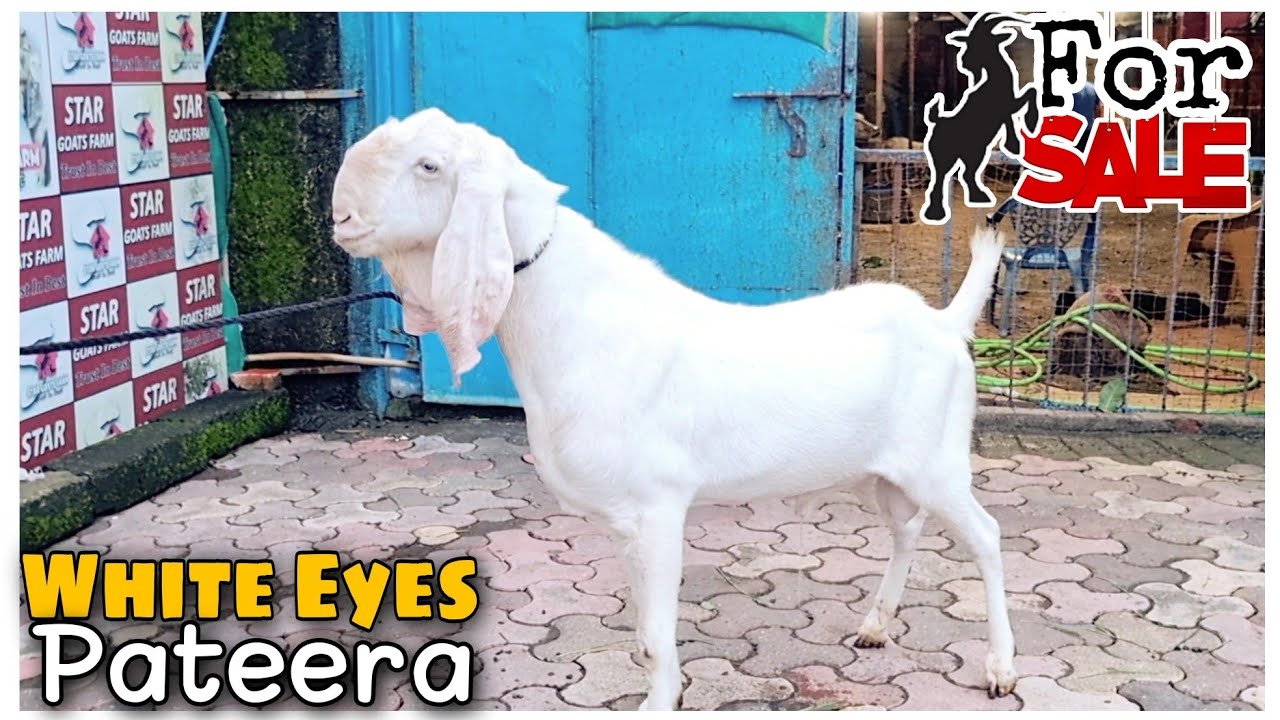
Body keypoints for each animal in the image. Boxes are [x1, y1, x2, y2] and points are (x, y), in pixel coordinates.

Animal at [330, 107, 1016, 710]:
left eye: (428, 166)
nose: (341, 215)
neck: (579, 321)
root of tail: (944, 323)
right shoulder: (629, 520)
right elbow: (643, 624)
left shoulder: (658, 505)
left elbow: (660, 633)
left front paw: (661, 699)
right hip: (883, 471)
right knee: (906, 528)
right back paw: (876, 625)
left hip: (937, 463)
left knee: (984, 536)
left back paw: (1001, 667)